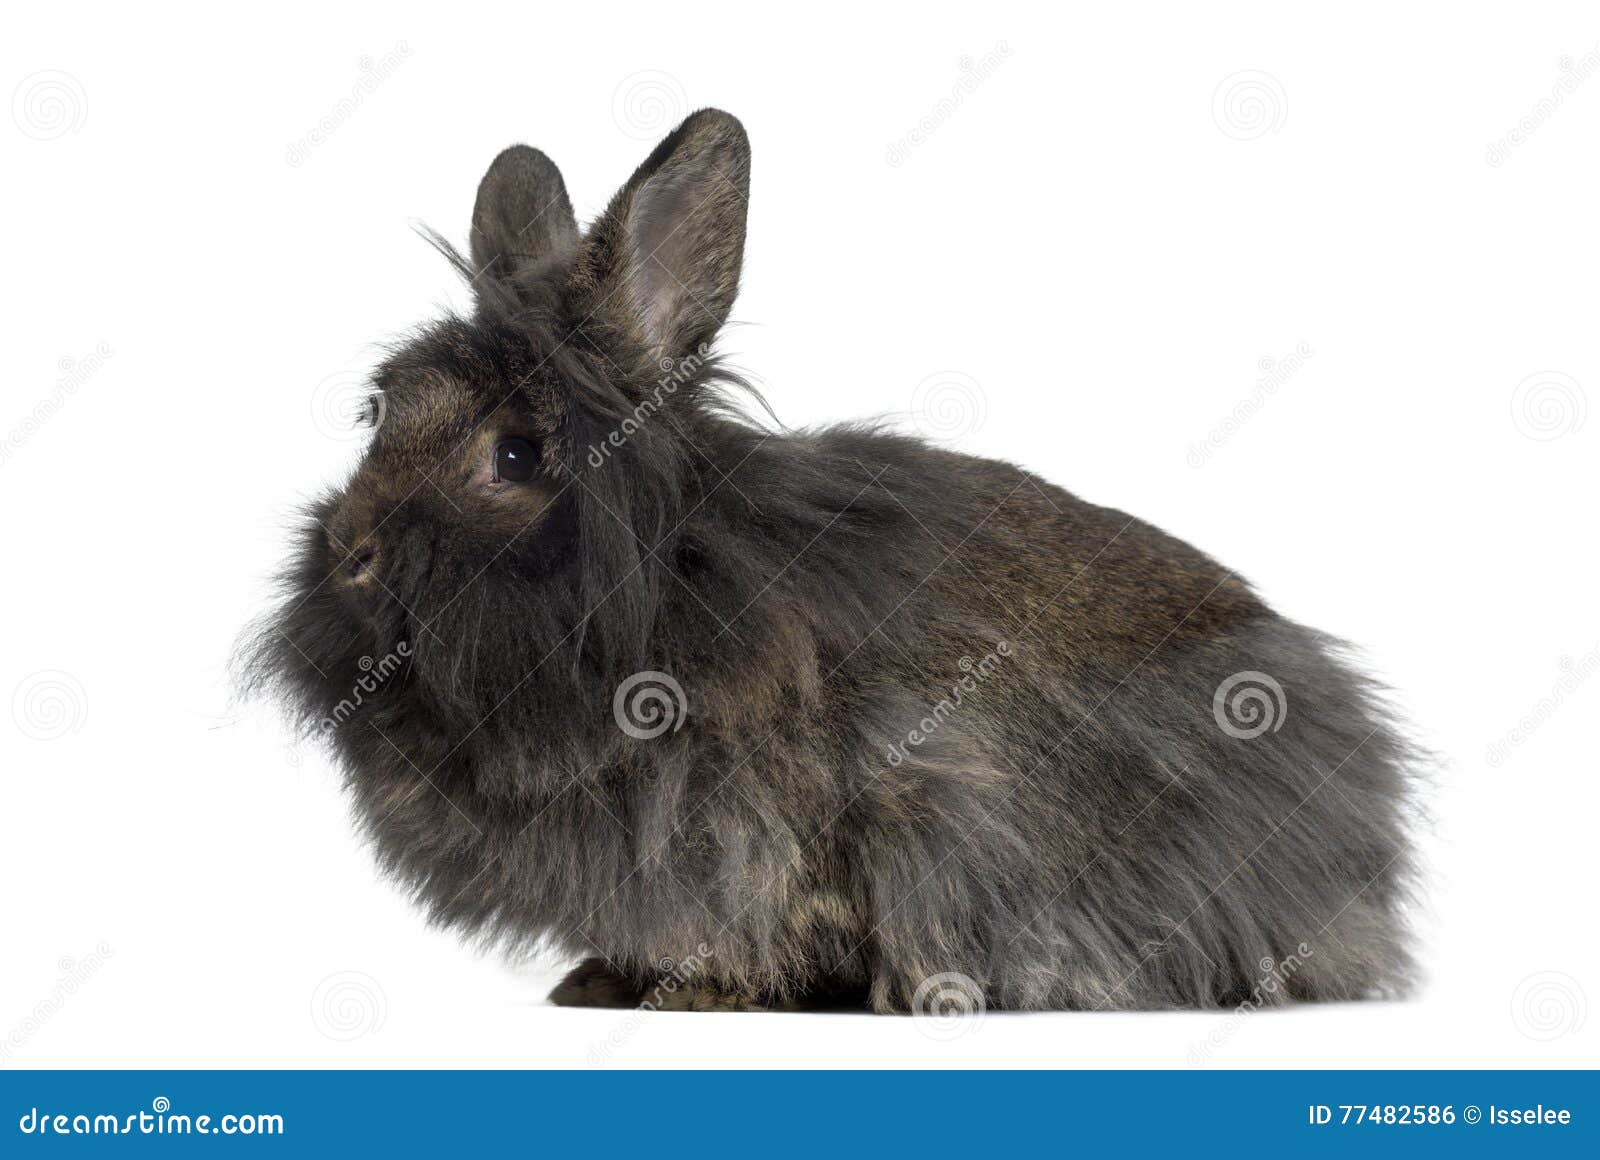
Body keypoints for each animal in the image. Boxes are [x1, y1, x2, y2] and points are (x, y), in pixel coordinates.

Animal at [246, 108, 1417, 1013]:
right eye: (376, 414)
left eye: (517, 455)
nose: (348, 554)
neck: (681, 587)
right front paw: (598, 980)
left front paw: (699, 993)